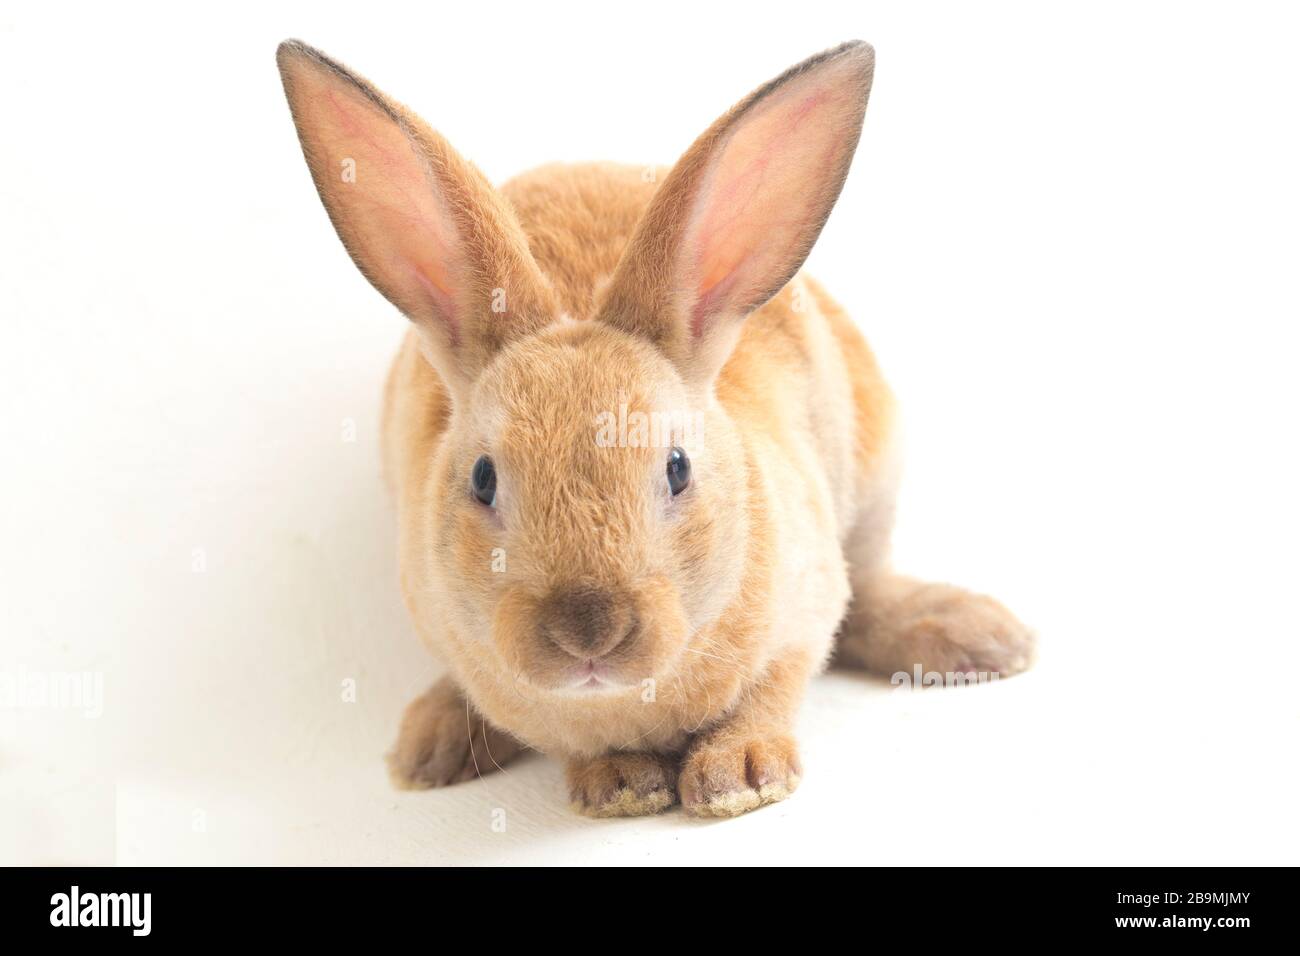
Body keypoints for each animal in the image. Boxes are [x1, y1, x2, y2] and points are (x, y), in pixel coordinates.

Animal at [276, 38, 1035, 818]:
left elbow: (774, 689)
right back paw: (427, 751)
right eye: (483, 480)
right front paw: (620, 787)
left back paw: (981, 636)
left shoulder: (804, 609)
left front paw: (741, 777)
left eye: (677, 468)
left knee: (873, 587)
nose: (589, 631)